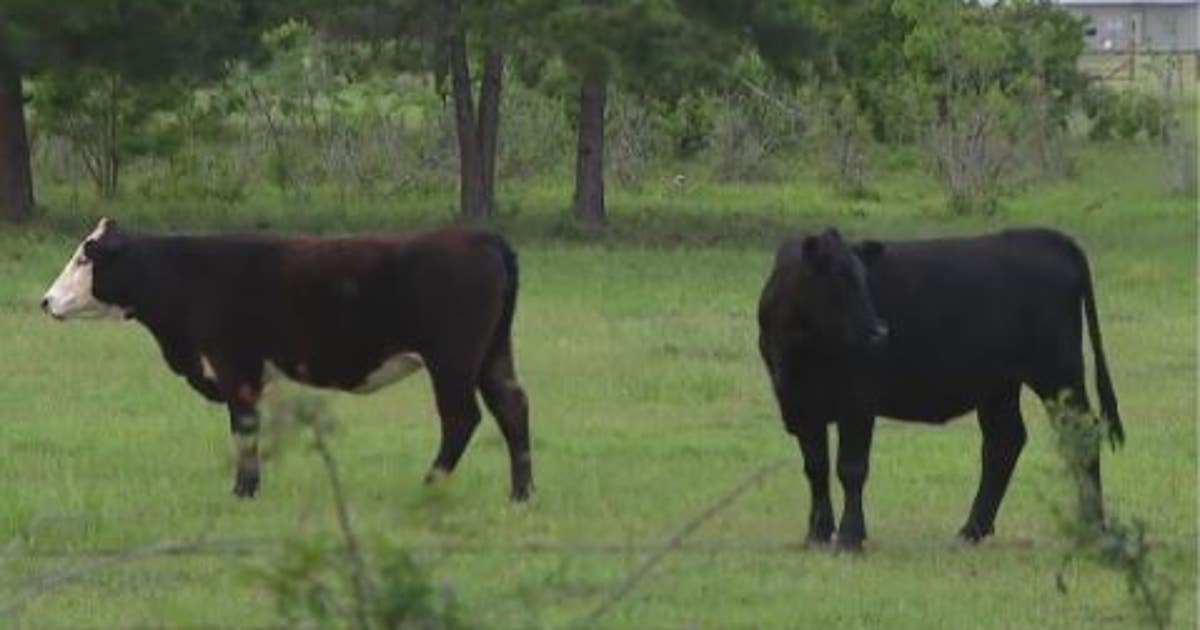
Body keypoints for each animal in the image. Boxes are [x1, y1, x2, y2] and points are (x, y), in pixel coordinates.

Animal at [41, 218, 533, 501]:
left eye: (85, 258)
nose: (46, 301)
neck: (188, 276)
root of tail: (481, 236)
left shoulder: (235, 365)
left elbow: (244, 428)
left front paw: (244, 490)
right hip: (493, 354)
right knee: (512, 407)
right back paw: (521, 492)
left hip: (453, 359)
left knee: (461, 417)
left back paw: (430, 485)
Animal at [757, 227, 1123, 550]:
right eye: (834, 278)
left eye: (863, 279)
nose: (878, 331)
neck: (800, 351)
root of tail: (1049, 237)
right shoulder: (799, 404)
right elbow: (815, 468)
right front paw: (817, 534)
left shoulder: (858, 400)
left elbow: (851, 467)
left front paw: (850, 536)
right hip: (999, 385)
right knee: (1004, 442)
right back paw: (972, 530)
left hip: (1057, 373)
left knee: (1080, 434)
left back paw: (1093, 526)